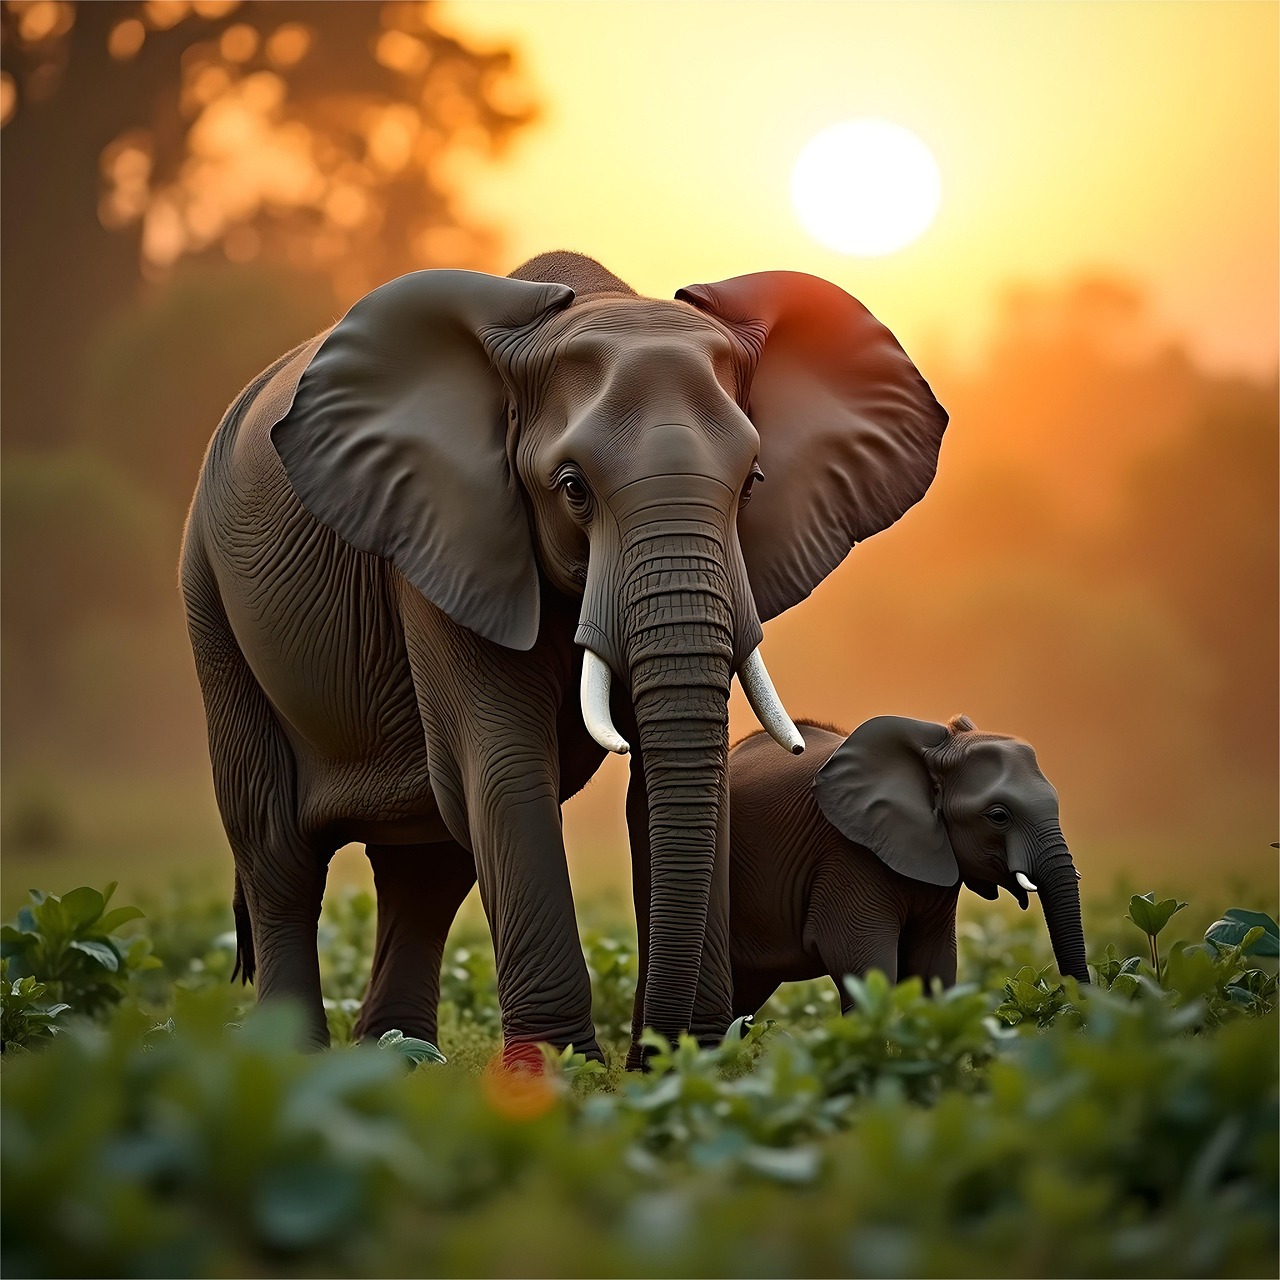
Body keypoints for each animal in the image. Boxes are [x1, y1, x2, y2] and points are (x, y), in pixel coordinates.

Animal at [180, 251, 948, 1064]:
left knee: (426, 864)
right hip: (209, 598)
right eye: (573, 489)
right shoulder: (447, 538)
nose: (651, 1054)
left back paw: (400, 1057)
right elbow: (506, 765)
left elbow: (663, 784)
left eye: (752, 485)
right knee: (279, 850)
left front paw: (690, 1067)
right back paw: (296, 1062)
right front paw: (558, 1069)